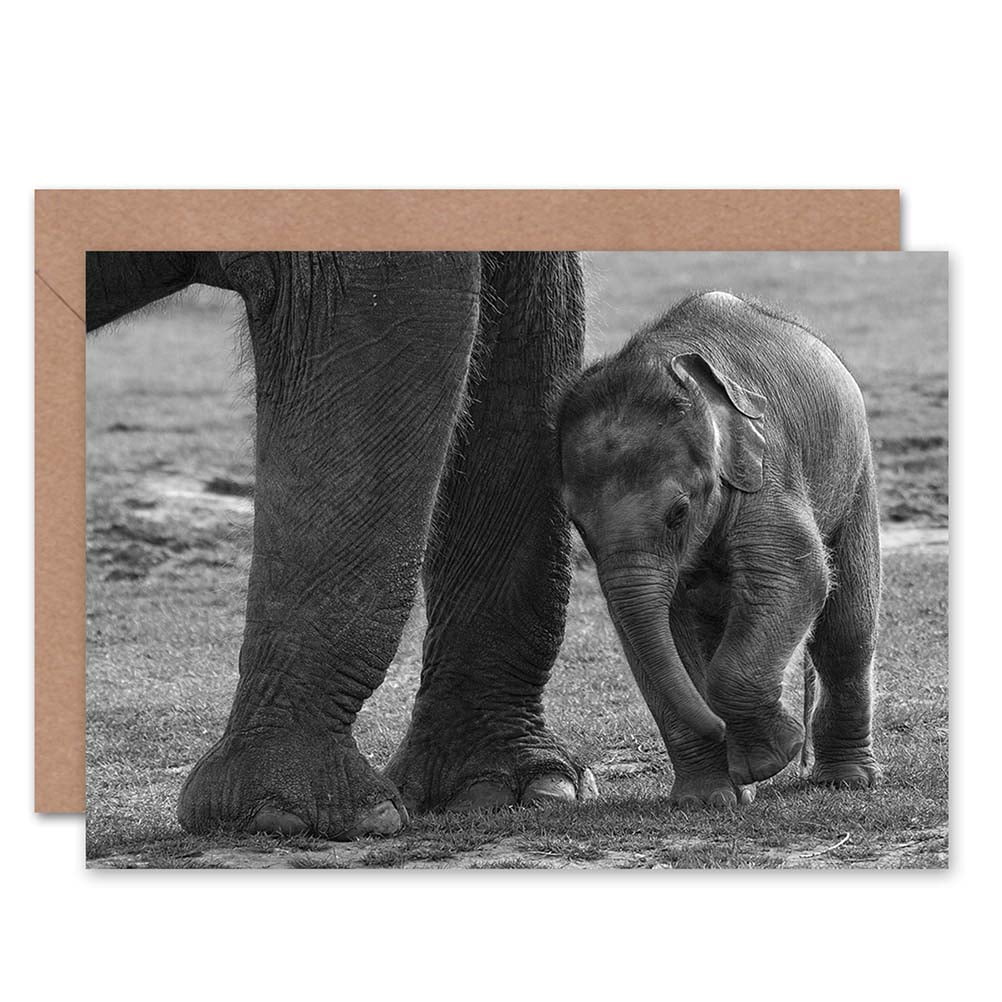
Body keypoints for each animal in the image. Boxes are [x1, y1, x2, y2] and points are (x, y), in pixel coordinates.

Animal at [553, 290, 881, 809]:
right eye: (577, 524)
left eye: (679, 512)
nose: (721, 730)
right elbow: (657, 630)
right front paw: (707, 799)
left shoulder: (766, 469)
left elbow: (796, 574)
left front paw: (770, 757)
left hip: (855, 473)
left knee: (846, 629)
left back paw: (846, 780)